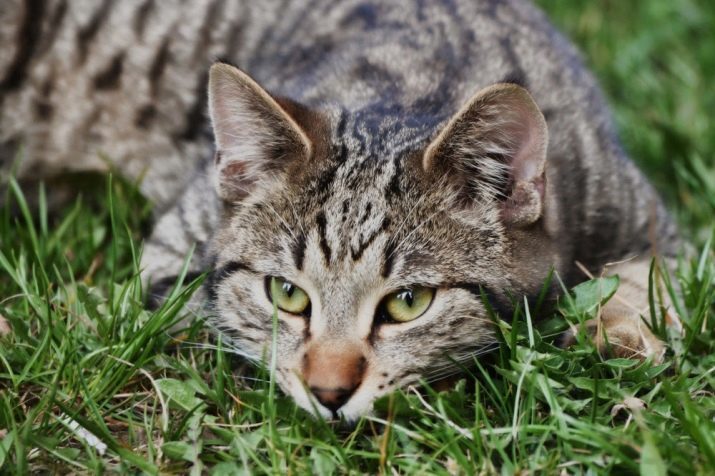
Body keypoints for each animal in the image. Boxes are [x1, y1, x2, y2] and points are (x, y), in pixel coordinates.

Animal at [1, 0, 684, 420]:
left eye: (408, 302)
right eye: (286, 294)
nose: (328, 390)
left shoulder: (647, 218)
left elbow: (648, 277)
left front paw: (619, 335)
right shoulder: (173, 256)